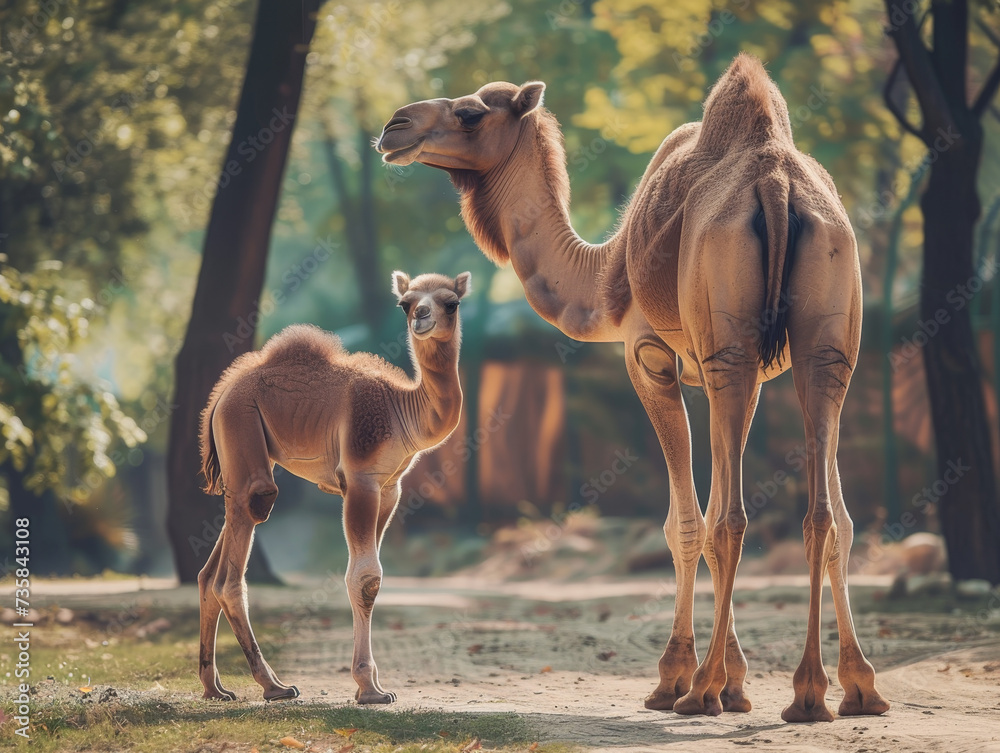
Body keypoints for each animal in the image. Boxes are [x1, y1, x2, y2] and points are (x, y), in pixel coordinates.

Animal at [196, 271, 470, 704]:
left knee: (209, 574)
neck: (401, 409)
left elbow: (370, 575)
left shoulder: (389, 489)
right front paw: (369, 689)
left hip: (241, 464)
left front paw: (373, 686)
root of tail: (219, 396)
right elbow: (365, 578)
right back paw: (274, 686)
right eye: (405, 304)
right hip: (243, 434)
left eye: (451, 303)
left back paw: (215, 687)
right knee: (234, 567)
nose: (421, 317)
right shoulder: (359, 479)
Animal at [376, 54, 889, 722]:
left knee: (730, 519)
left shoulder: (651, 358)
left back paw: (705, 693)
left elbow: (686, 523)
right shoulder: (740, 368)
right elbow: (741, 512)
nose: (393, 127)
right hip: (822, 347)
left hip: (733, 350)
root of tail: (777, 188)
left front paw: (682, 679)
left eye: (469, 112)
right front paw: (739, 683)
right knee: (827, 516)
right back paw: (834, 691)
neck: (607, 275)